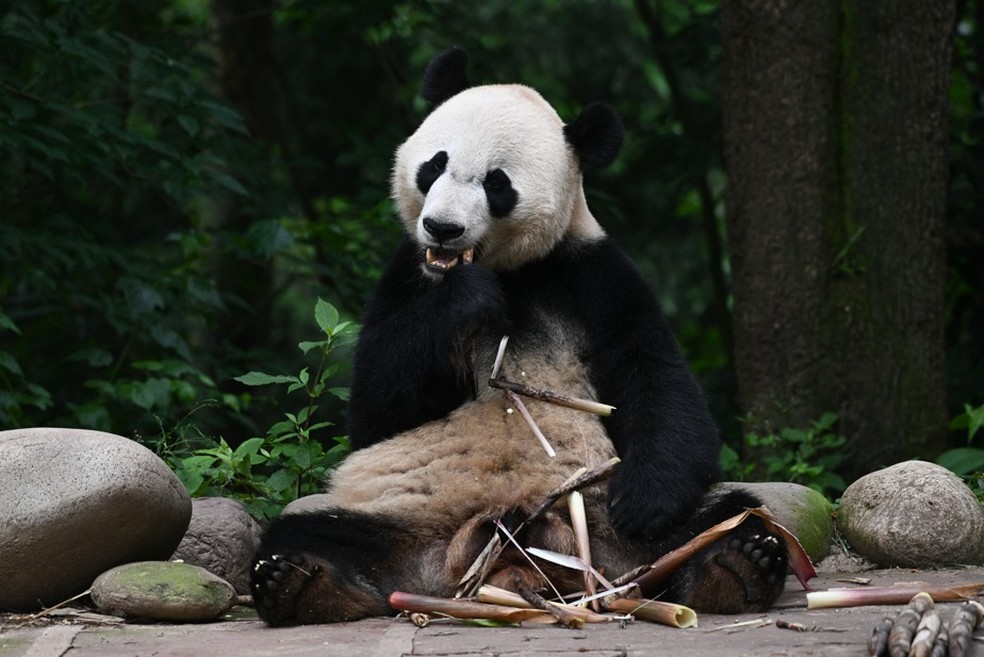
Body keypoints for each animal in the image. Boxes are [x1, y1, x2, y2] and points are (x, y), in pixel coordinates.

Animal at [252, 47, 786, 626]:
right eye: (435, 164)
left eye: (496, 183)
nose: (442, 228)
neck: (507, 269)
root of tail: (504, 554)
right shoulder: (405, 274)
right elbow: (379, 410)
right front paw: (467, 297)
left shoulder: (592, 272)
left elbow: (658, 381)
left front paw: (644, 502)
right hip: (399, 518)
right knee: (305, 530)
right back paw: (301, 582)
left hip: (599, 529)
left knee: (731, 515)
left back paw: (738, 564)